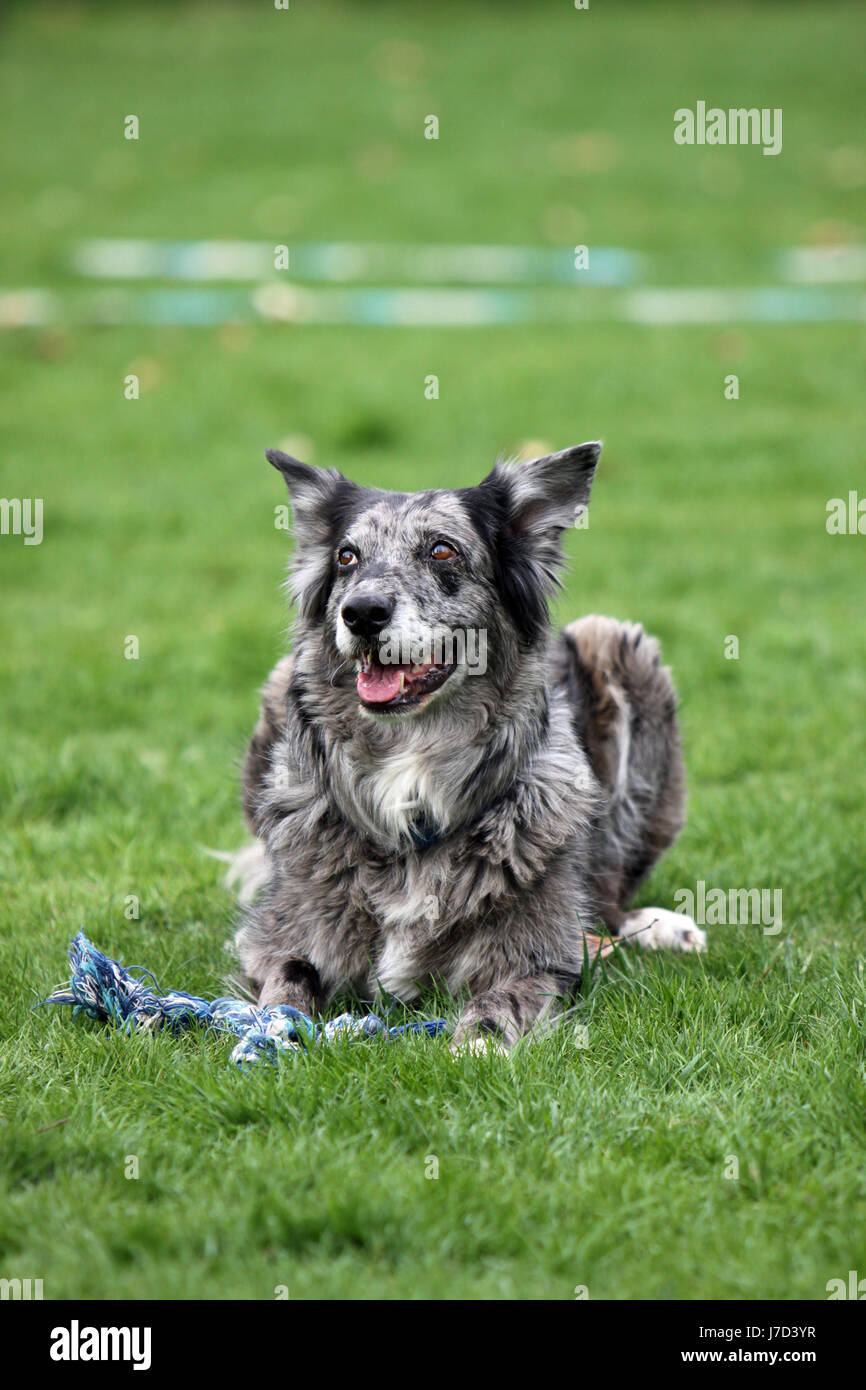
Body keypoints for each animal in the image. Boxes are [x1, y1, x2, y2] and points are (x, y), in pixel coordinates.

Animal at [234, 444, 706, 1050]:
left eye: (442, 549)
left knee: (605, 896)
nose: (361, 612)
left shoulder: (537, 955)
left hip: (618, 644)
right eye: (346, 557)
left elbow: (499, 998)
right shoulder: (274, 935)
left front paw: (475, 1047)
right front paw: (274, 1030)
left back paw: (659, 928)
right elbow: (290, 978)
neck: (410, 765)